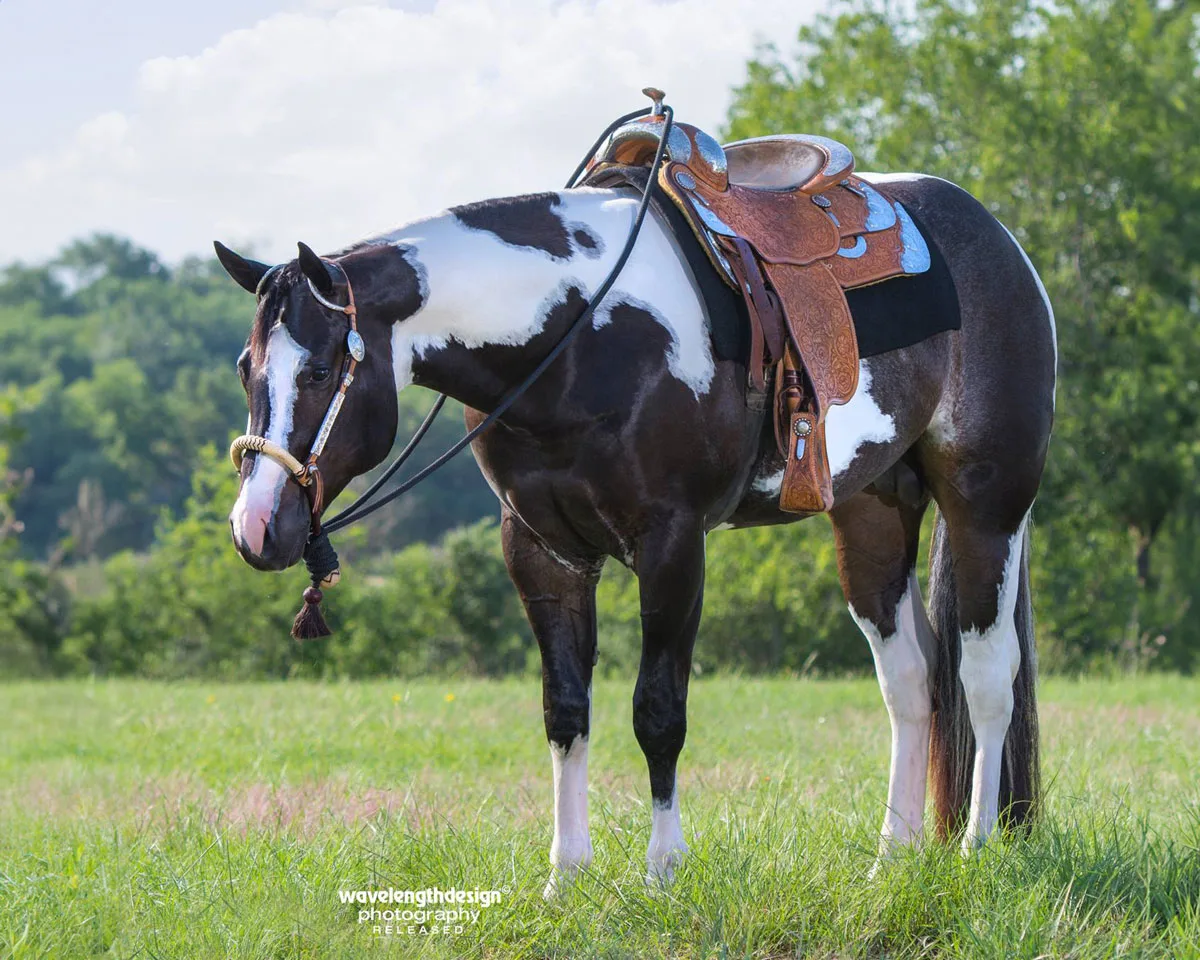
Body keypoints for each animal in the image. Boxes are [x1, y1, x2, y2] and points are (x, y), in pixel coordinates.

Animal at [217, 151, 1055, 895]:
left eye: (319, 370)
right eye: (246, 367)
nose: (255, 529)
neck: (576, 337)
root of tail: (1002, 245)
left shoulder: (672, 545)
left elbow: (658, 712)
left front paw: (661, 873)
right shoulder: (542, 552)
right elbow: (565, 711)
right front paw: (565, 878)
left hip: (987, 509)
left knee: (986, 676)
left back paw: (978, 847)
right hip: (871, 517)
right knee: (912, 683)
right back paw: (893, 859)